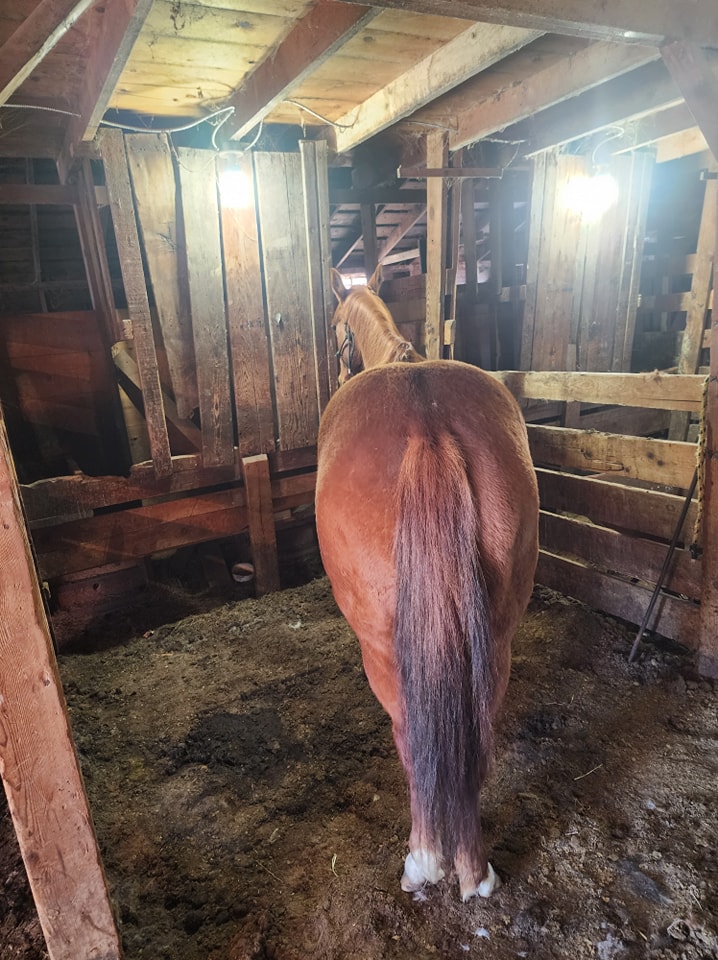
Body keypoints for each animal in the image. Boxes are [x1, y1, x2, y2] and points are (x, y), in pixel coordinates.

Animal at [315, 265, 539, 901]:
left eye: (334, 328)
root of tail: (425, 424)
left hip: (384, 650)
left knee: (413, 742)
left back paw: (425, 861)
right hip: (495, 641)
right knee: (475, 740)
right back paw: (474, 872)